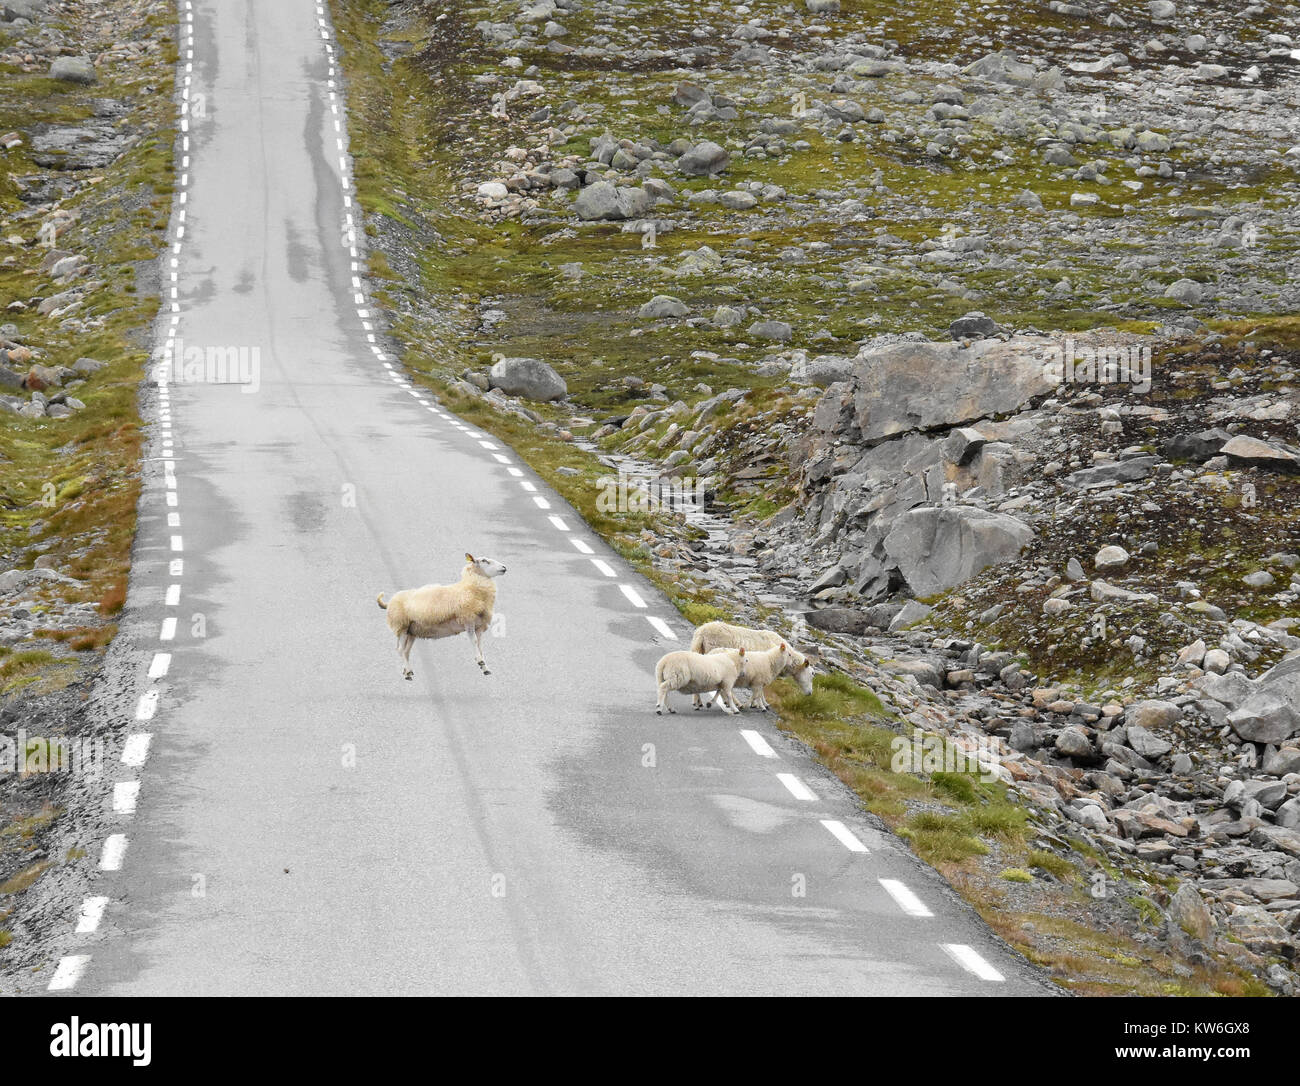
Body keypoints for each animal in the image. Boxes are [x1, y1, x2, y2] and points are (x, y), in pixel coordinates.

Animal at [377, 553, 507, 680]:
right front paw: (480, 661)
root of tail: (389, 603)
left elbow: (480, 646)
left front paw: (485, 667)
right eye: (484, 560)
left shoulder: (479, 626)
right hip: (401, 626)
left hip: (411, 631)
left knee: (406, 651)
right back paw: (407, 673)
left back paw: (407, 671)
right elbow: (474, 642)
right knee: (400, 650)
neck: (469, 588)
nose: (504, 567)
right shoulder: (468, 620)